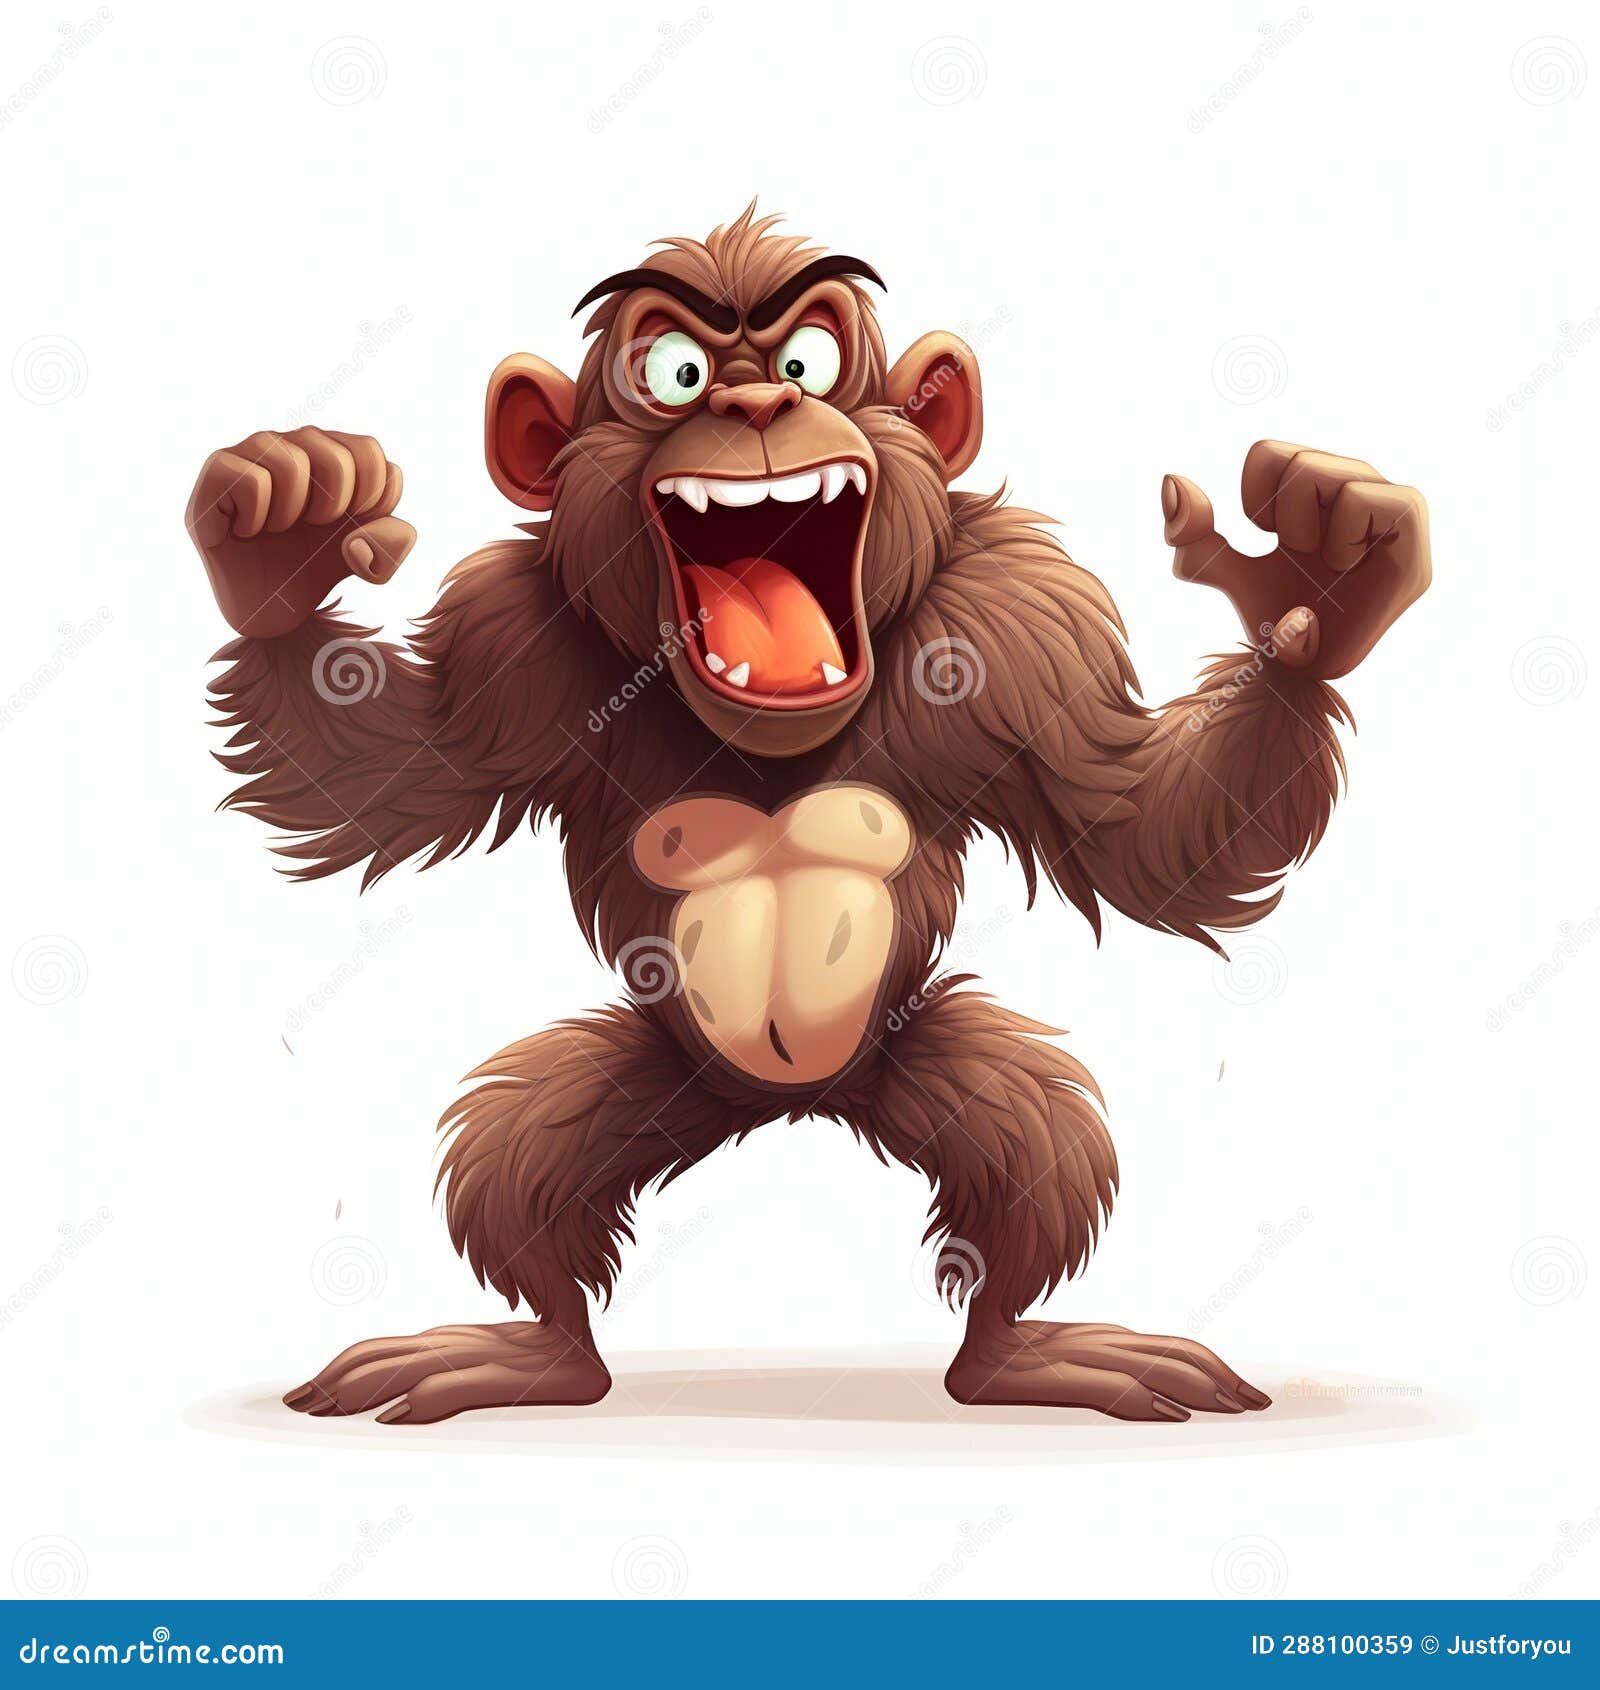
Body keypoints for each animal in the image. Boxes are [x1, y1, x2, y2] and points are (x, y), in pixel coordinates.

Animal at [187, 205, 1430, 1425]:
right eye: (674, 371)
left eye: (806, 361)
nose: (753, 402)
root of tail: (799, 1101)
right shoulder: (512, 645)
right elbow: (393, 775)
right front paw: (280, 551)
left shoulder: (1025, 626)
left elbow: (1139, 837)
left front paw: (1315, 591)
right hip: (661, 1073)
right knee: (519, 1155)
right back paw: (544, 1357)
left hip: (903, 1057)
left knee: (1029, 1137)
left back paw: (1014, 1354)